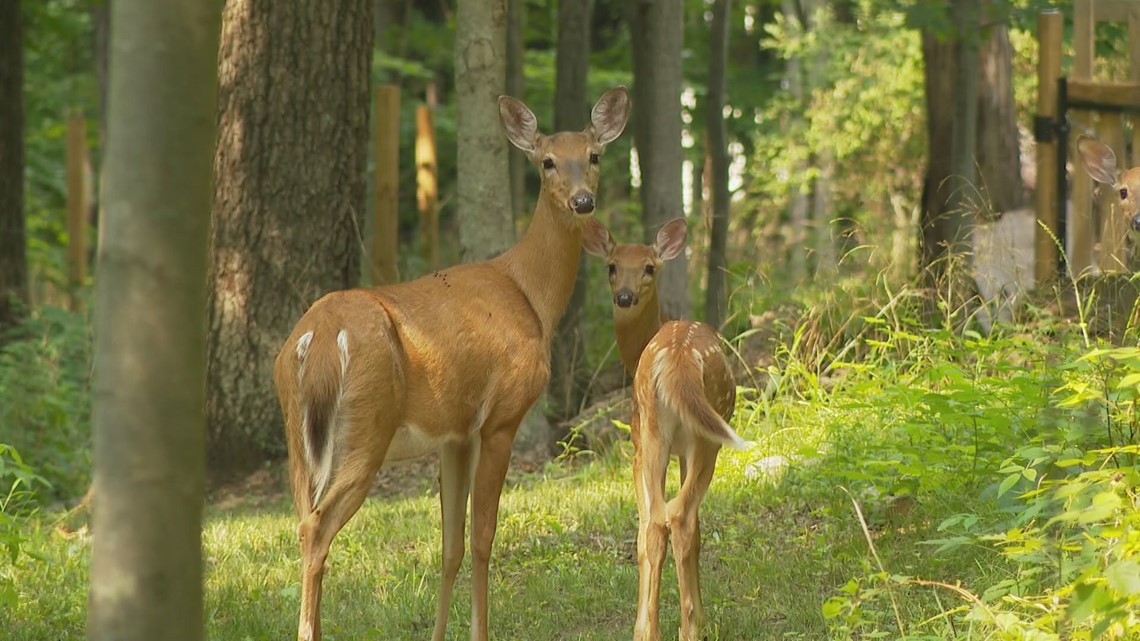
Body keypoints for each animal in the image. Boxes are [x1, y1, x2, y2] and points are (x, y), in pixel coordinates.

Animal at [272, 86, 630, 641]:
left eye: (593, 155)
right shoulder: (501, 416)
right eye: (547, 161)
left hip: (297, 435)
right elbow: (484, 538)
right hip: (367, 426)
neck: (530, 295)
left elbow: (450, 546)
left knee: (302, 520)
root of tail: (322, 336)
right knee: (315, 527)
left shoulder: (454, 433)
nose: (582, 201)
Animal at [582, 216, 747, 641]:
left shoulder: (645, 446)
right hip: (694, 438)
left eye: (649, 268)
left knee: (663, 521)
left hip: (667, 434)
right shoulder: (663, 449)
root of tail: (677, 359)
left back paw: (662, 629)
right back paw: (687, 627)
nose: (624, 297)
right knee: (677, 518)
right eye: (611, 266)